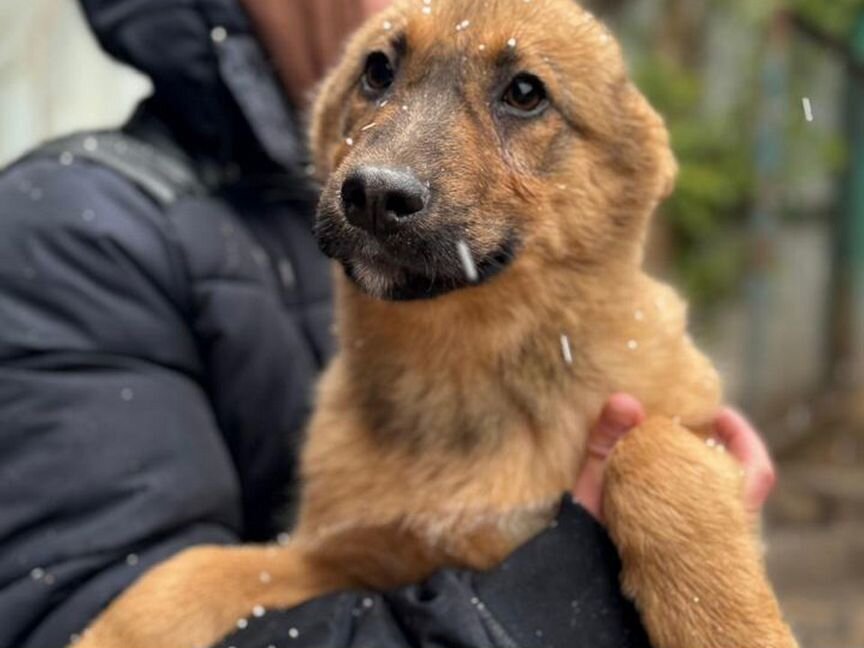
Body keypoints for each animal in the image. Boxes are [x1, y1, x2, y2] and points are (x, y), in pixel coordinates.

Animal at [79, 1, 796, 648]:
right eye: (377, 71)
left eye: (526, 93)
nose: (373, 195)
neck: (458, 367)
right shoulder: (347, 557)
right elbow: (195, 572)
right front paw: (110, 632)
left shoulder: (705, 435)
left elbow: (651, 450)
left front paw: (727, 624)